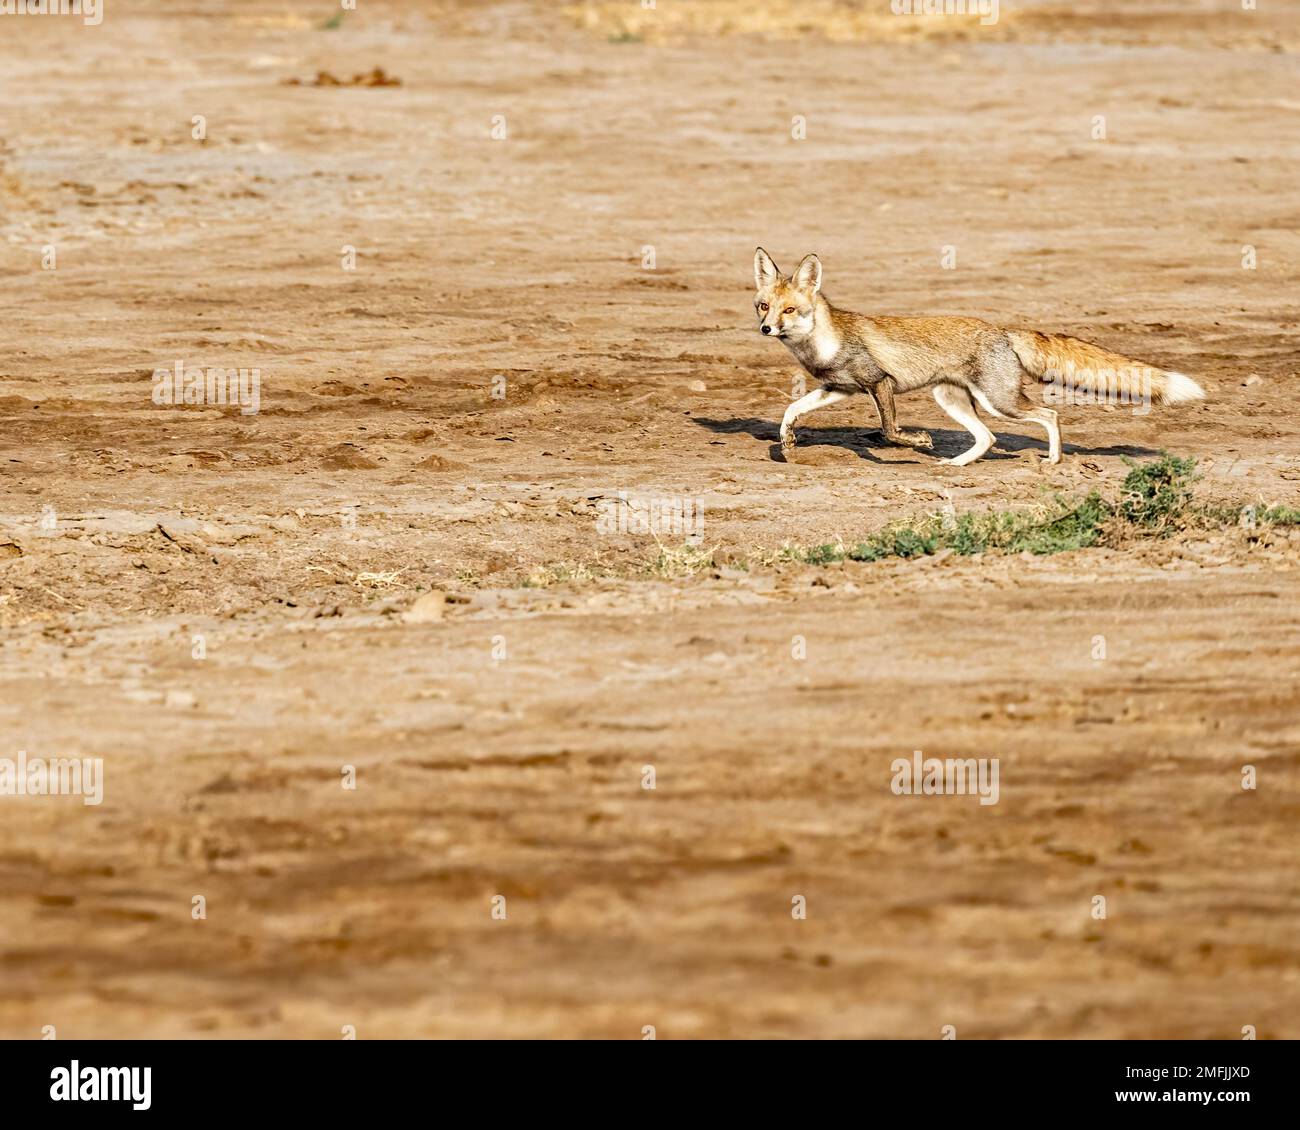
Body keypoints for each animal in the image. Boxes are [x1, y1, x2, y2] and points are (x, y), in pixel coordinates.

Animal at [753, 247, 1205, 467]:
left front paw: (916, 441)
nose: (766, 329)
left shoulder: (879, 383)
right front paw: (786, 443)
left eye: (789, 310)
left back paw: (1054, 458)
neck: (822, 342)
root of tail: (1003, 330)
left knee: (1049, 415)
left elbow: (889, 431)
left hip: (999, 402)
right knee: (988, 438)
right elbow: (791, 410)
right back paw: (955, 466)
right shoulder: (839, 388)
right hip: (953, 399)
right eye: (764, 306)